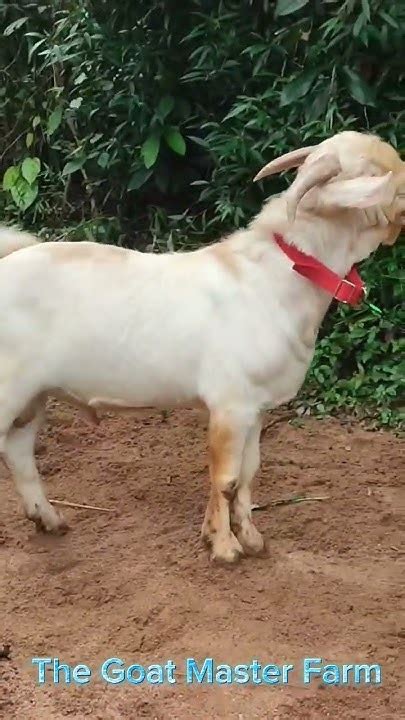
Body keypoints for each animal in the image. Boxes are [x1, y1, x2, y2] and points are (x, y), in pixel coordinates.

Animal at [0, 130, 403, 563]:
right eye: (381, 174)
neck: (272, 279)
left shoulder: (255, 408)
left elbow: (248, 473)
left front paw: (250, 538)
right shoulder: (229, 404)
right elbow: (225, 479)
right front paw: (225, 548)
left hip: (33, 394)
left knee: (19, 452)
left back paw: (48, 519)